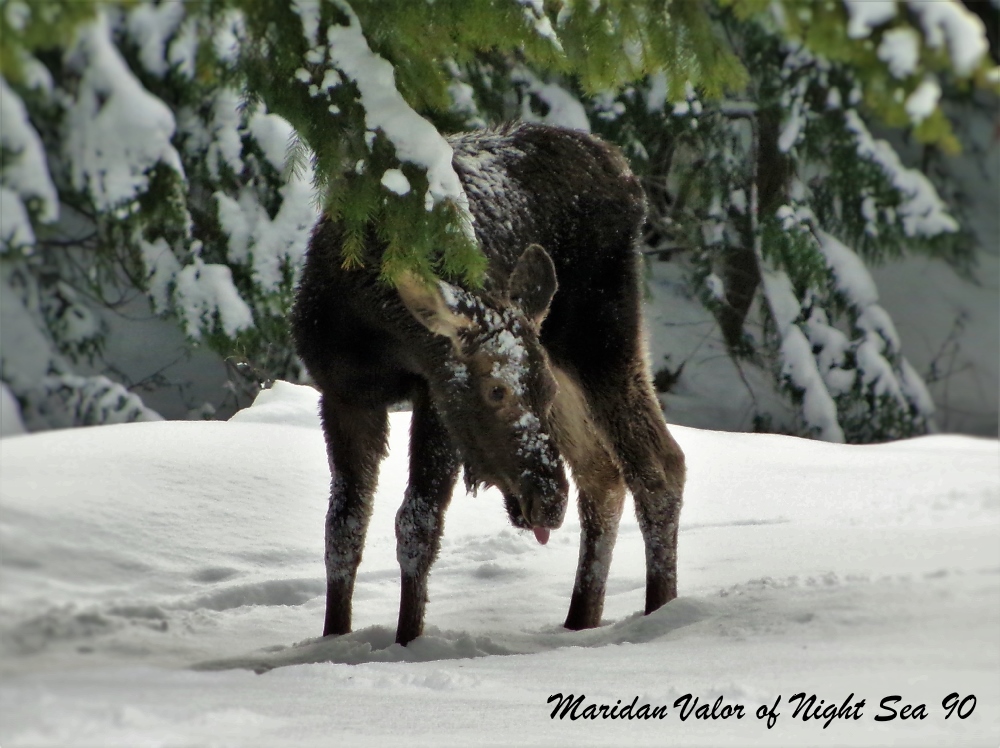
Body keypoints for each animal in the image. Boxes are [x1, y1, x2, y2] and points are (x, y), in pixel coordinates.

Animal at [292, 122, 686, 646]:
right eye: (497, 390)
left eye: (539, 393)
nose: (548, 501)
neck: (369, 327)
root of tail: (623, 170)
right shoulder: (341, 394)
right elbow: (343, 529)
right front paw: (334, 636)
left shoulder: (434, 392)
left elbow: (417, 525)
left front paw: (407, 641)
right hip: (561, 345)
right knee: (601, 472)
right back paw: (579, 621)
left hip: (601, 337)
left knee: (660, 465)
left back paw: (660, 613)